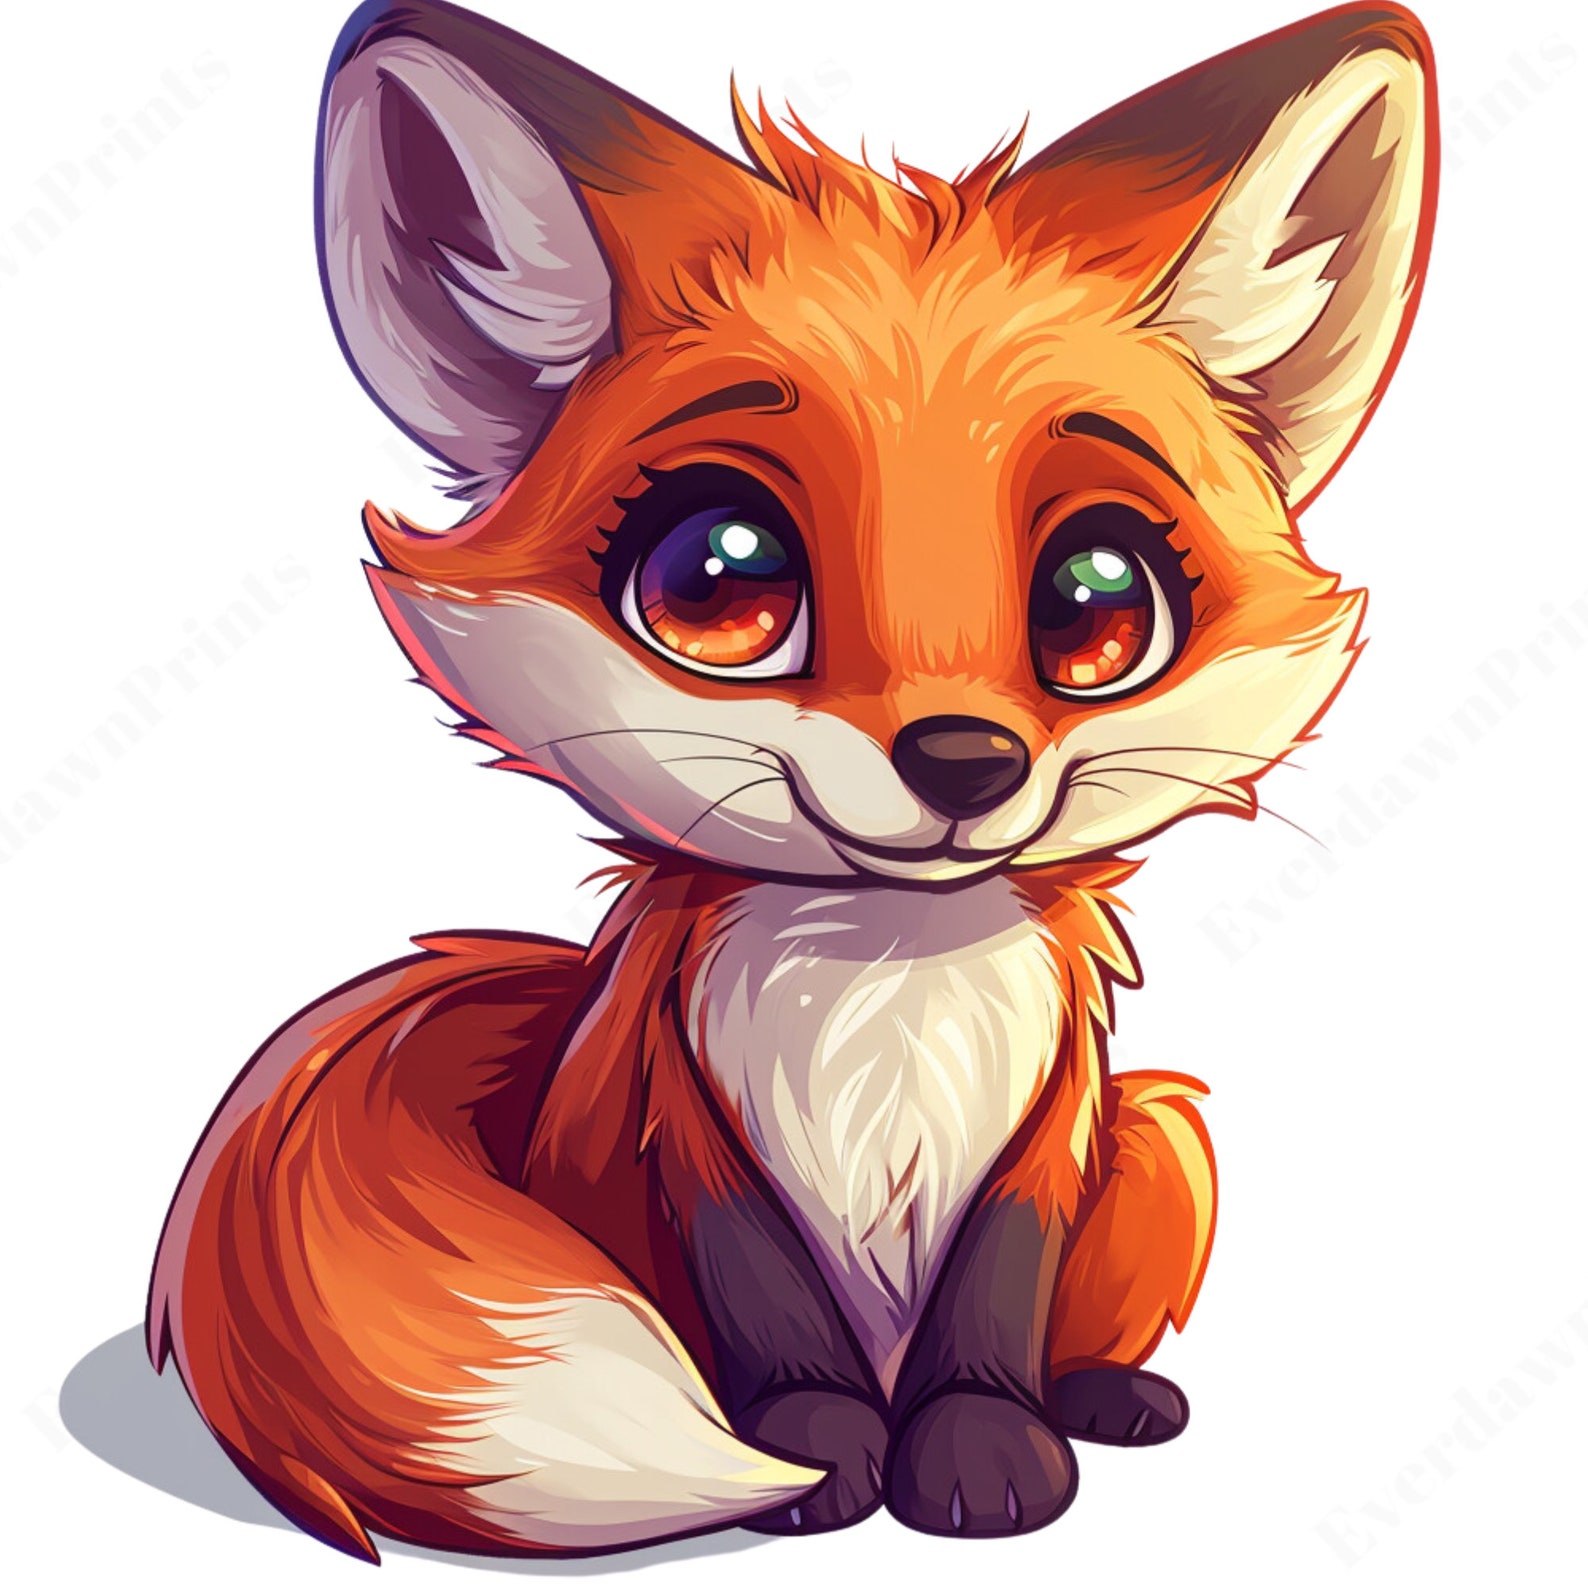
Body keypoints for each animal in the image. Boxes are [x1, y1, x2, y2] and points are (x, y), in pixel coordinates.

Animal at [146, 0, 1437, 1563]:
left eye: (1095, 600)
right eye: (721, 580)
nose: (964, 760)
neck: (890, 984)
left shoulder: (1054, 1128)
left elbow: (993, 1305)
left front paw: (982, 1450)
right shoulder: (683, 1124)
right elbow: (770, 1311)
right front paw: (817, 1456)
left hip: (1167, 1135)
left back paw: (1107, 1394)